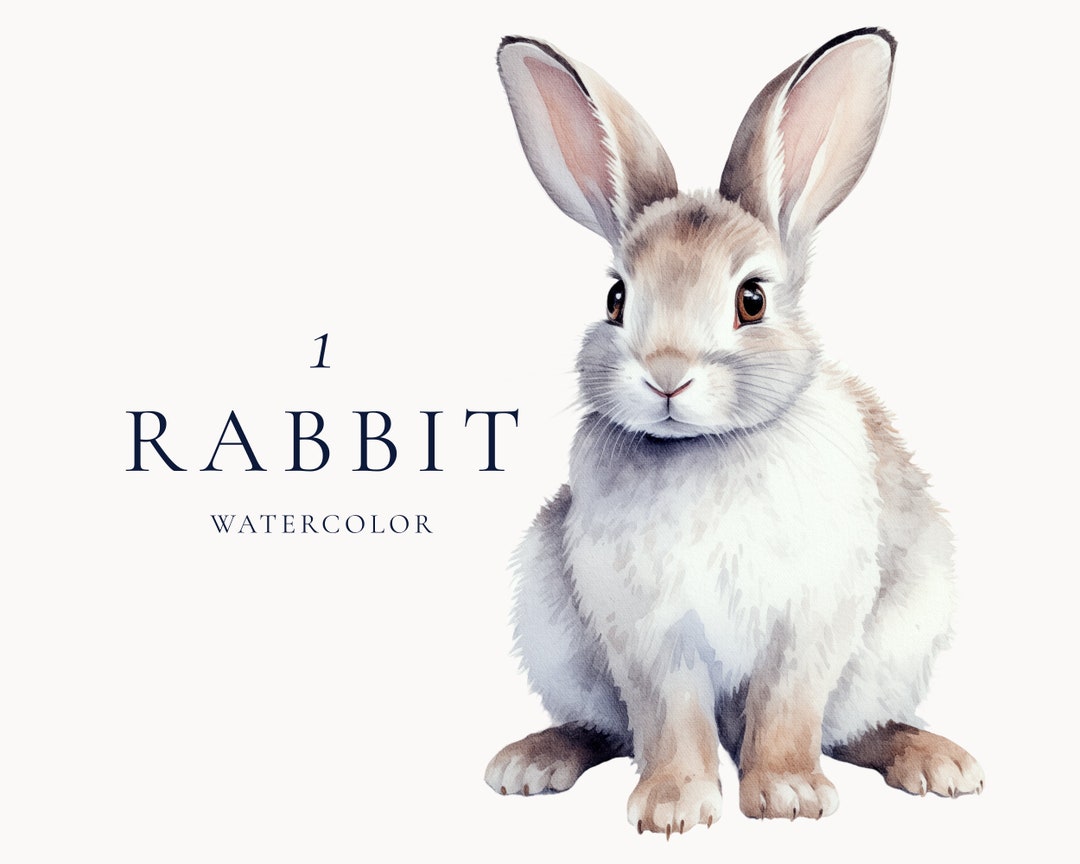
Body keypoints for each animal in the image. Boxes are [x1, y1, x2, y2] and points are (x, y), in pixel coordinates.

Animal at [485, 28, 983, 835]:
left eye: (753, 300)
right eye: (616, 299)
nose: (666, 375)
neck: (704, 450)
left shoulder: (811, 619)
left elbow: (787, 706)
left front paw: (788, 798)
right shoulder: (648, 632)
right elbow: (669, 718)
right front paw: (674, 808)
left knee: (852, 728)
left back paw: (937, 764)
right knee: (607, 727)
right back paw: (532, 763)